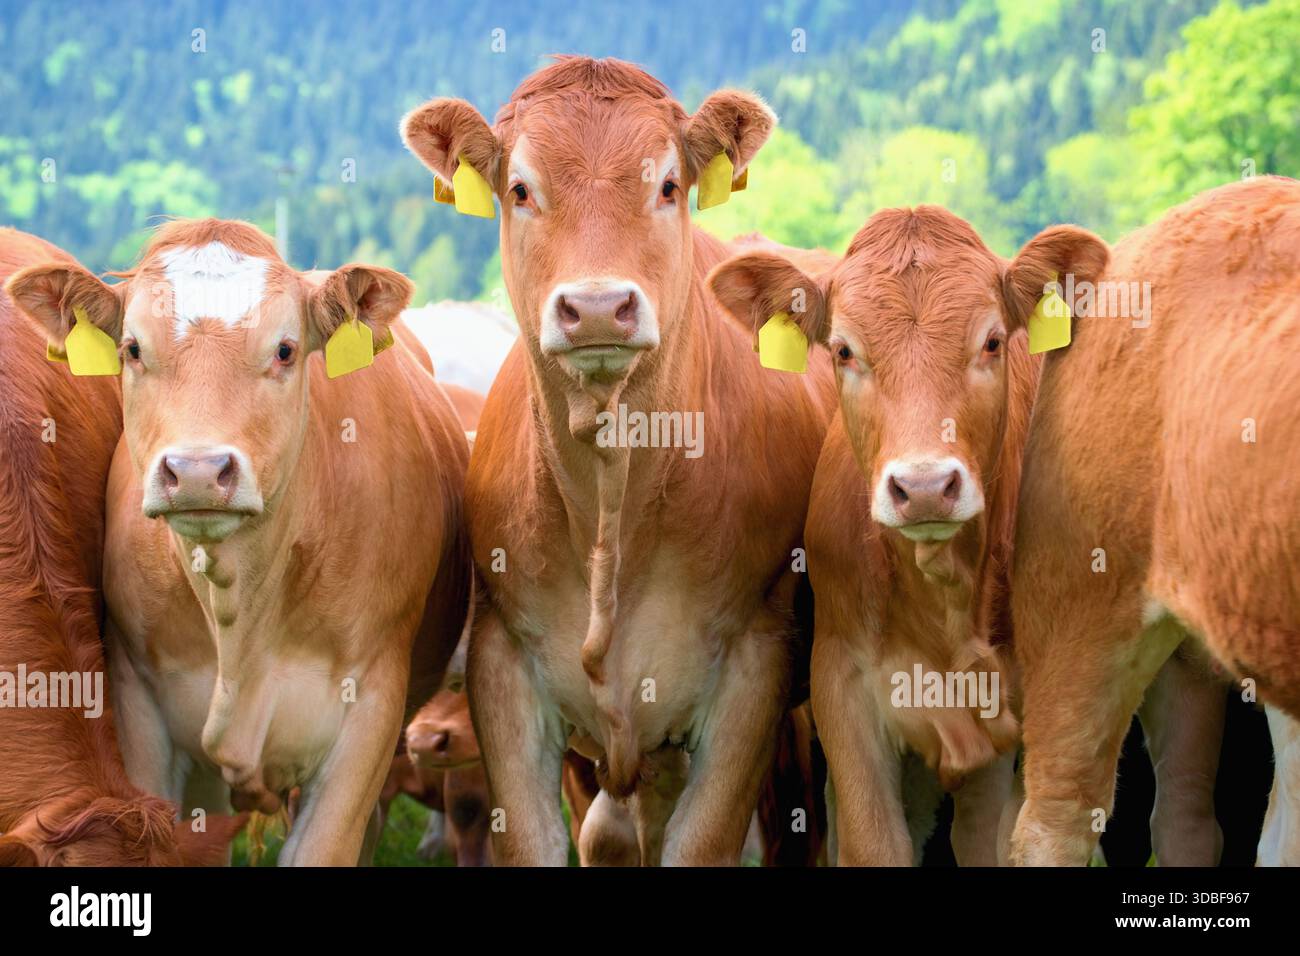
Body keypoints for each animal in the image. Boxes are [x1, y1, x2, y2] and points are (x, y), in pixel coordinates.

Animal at [401, 55, 837, 865]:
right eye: (519, 188)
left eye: (667, 185)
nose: (599, 307)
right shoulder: (503, 671)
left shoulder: (755, 674)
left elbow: (703, 843)